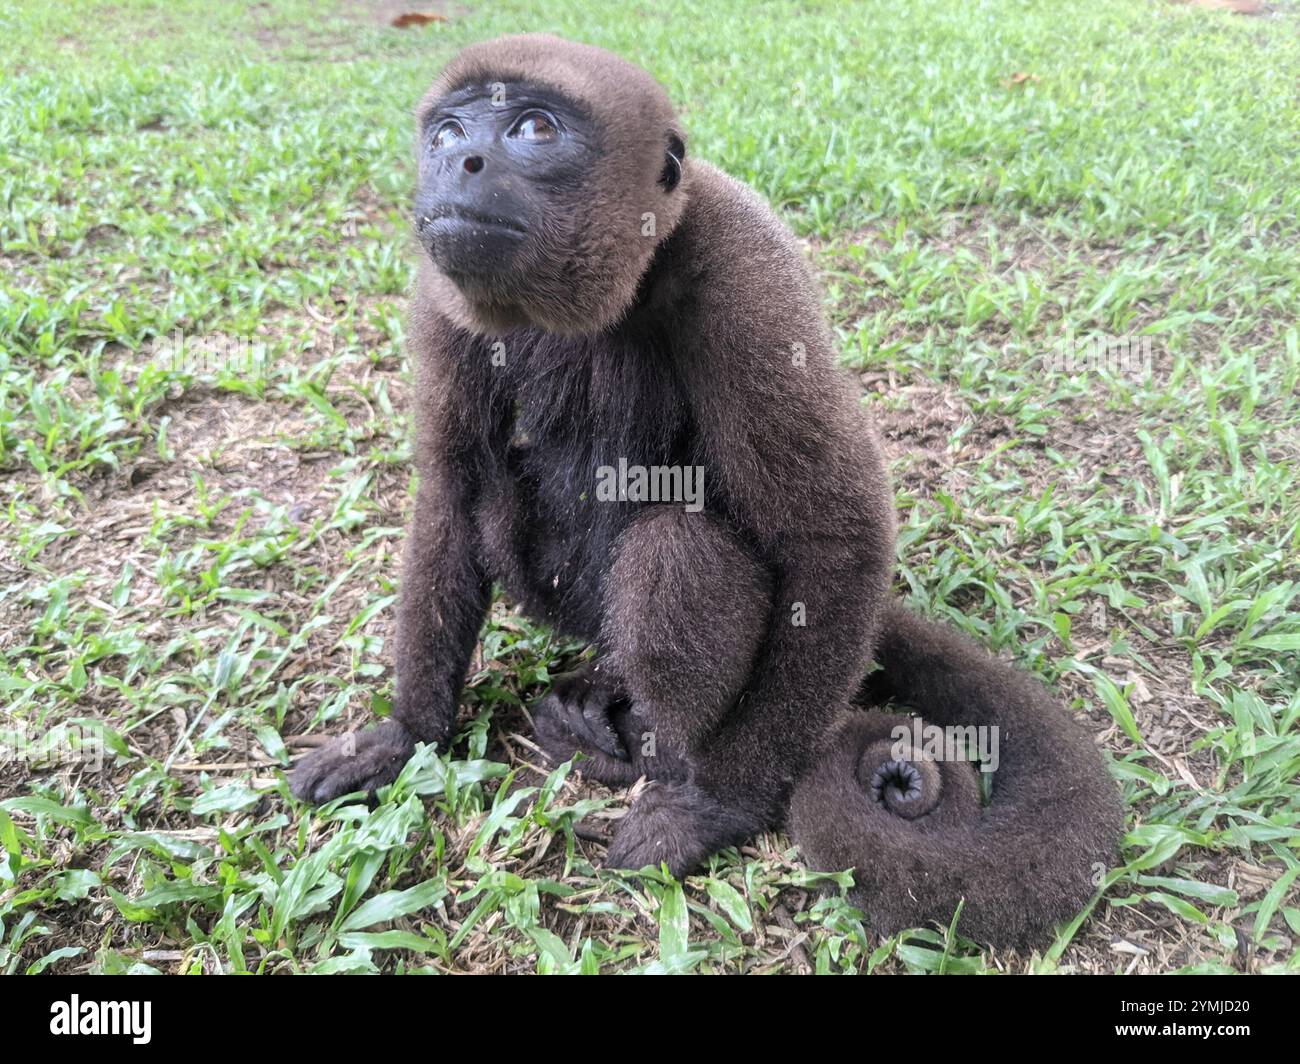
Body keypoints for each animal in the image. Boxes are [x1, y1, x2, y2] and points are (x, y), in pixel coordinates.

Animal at [290, 33, 1123, 948]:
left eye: (534, 128)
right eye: (444, 133)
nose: (459, 163)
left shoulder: (745, 270)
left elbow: (833, 538)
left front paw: (721, 804)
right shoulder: (442, 300)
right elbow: (451, 490)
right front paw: (407, 733)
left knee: (675, 546)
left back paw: (638, 736)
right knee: (500, 502)